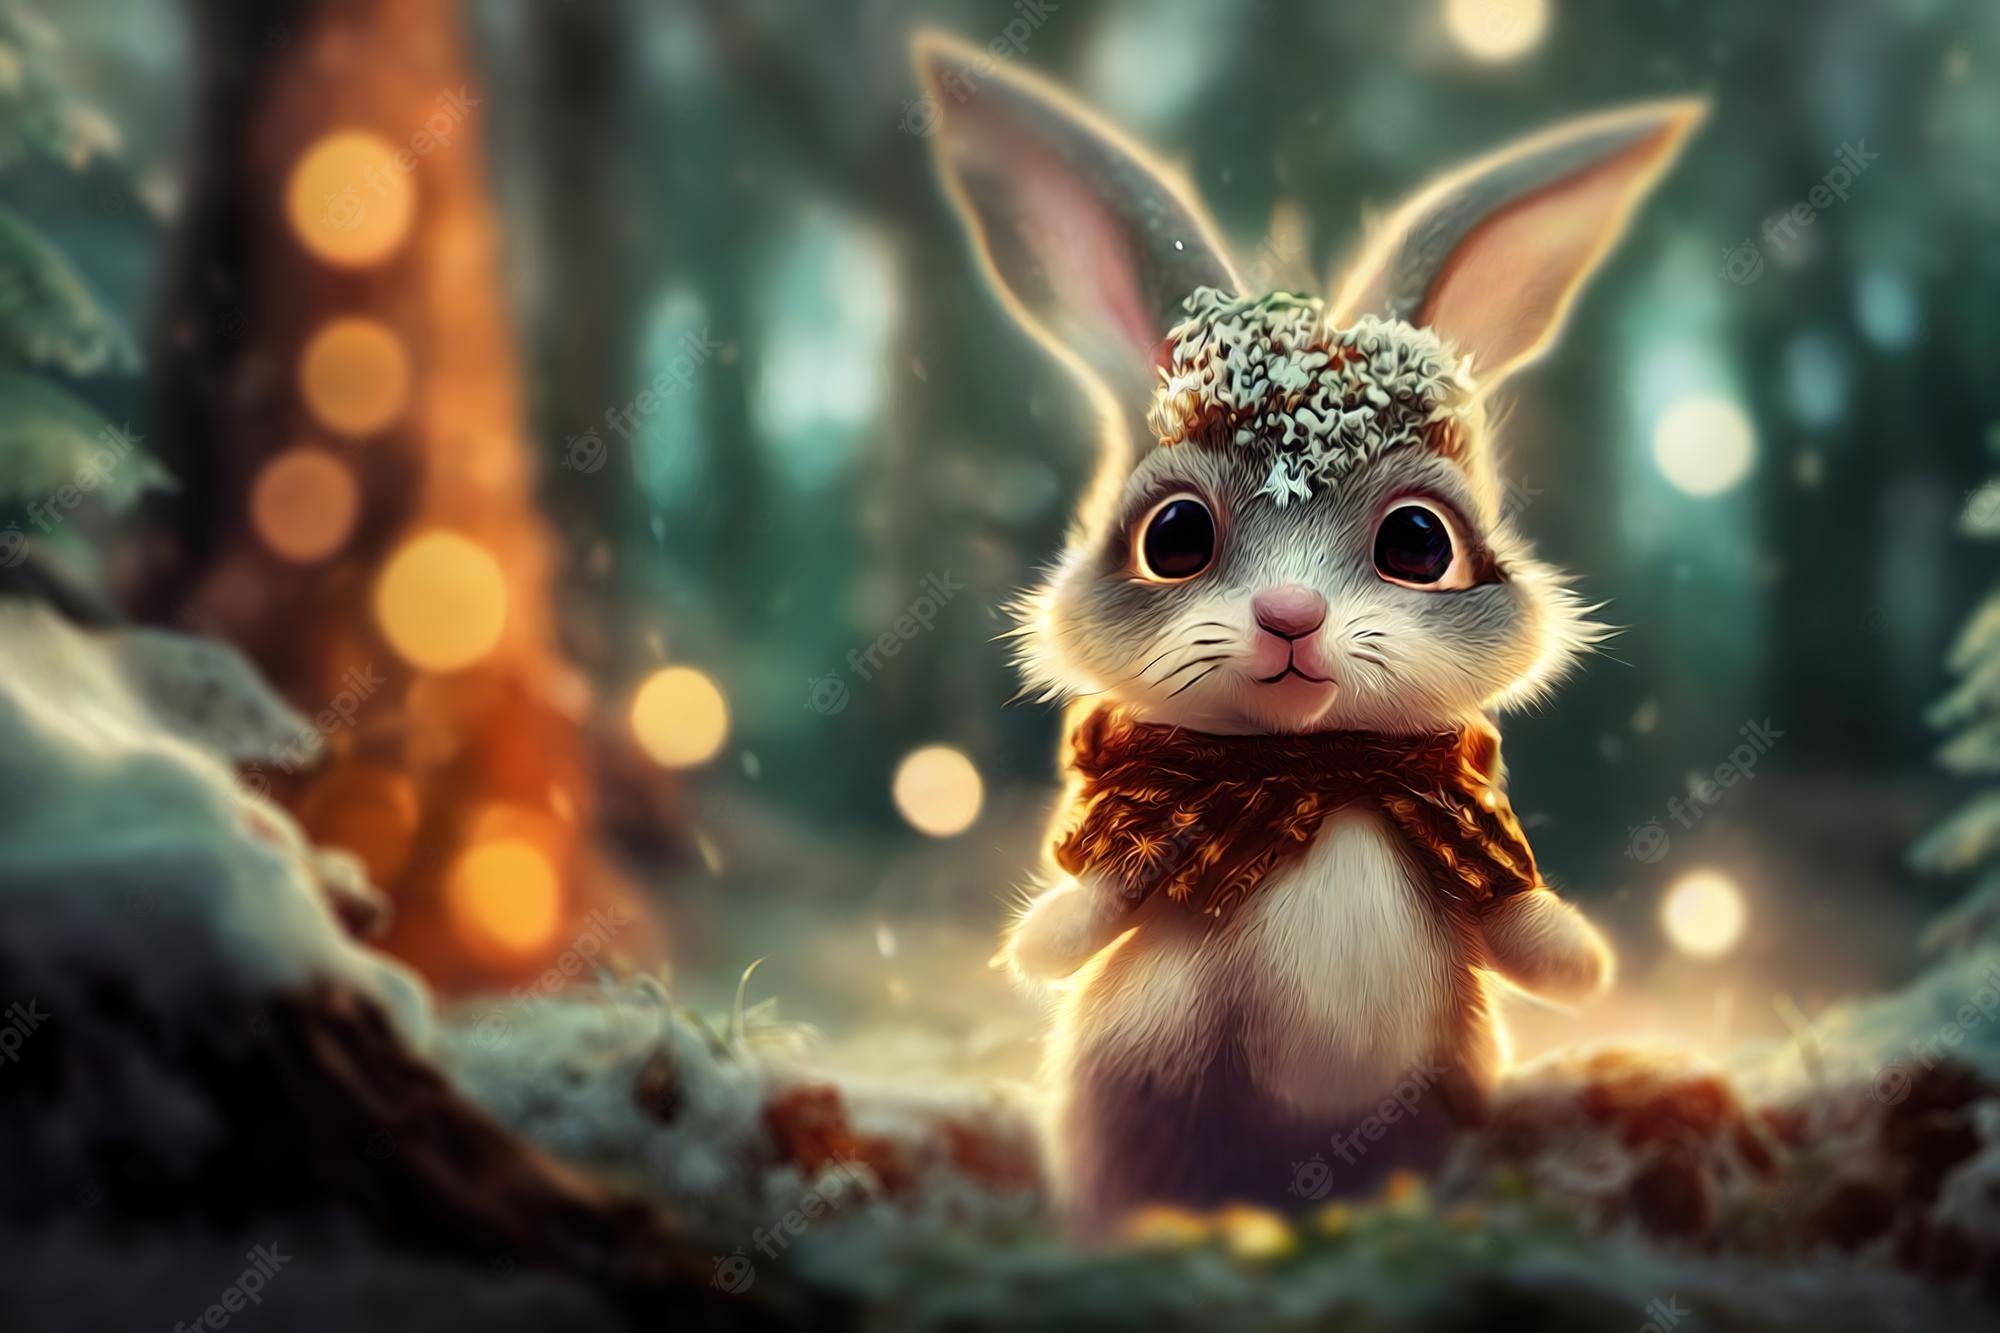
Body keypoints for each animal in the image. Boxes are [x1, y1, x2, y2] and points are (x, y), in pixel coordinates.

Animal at [913, 30, 1703, 1235]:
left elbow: (1532, 933)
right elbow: (1076, 923)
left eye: (1419, 542)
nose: (1290, 615)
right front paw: (1036, 941)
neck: (1317, 771)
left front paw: (1585, 969)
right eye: (1175, 536)